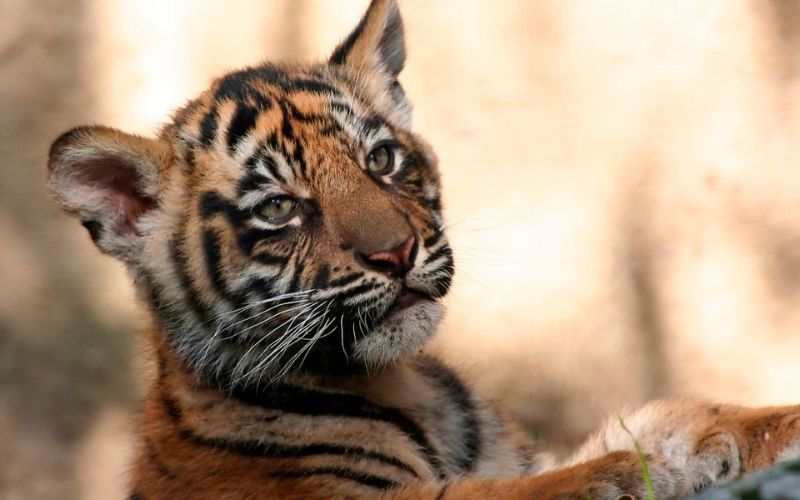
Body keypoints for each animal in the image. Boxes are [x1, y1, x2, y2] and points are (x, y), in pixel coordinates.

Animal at [46, 0, 800, 498]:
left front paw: (766, 428)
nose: (397, 252)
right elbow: (525, 490)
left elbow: (671, 414)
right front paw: (628, 474)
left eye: (381, 159)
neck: (403, 385)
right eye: (279, 208)